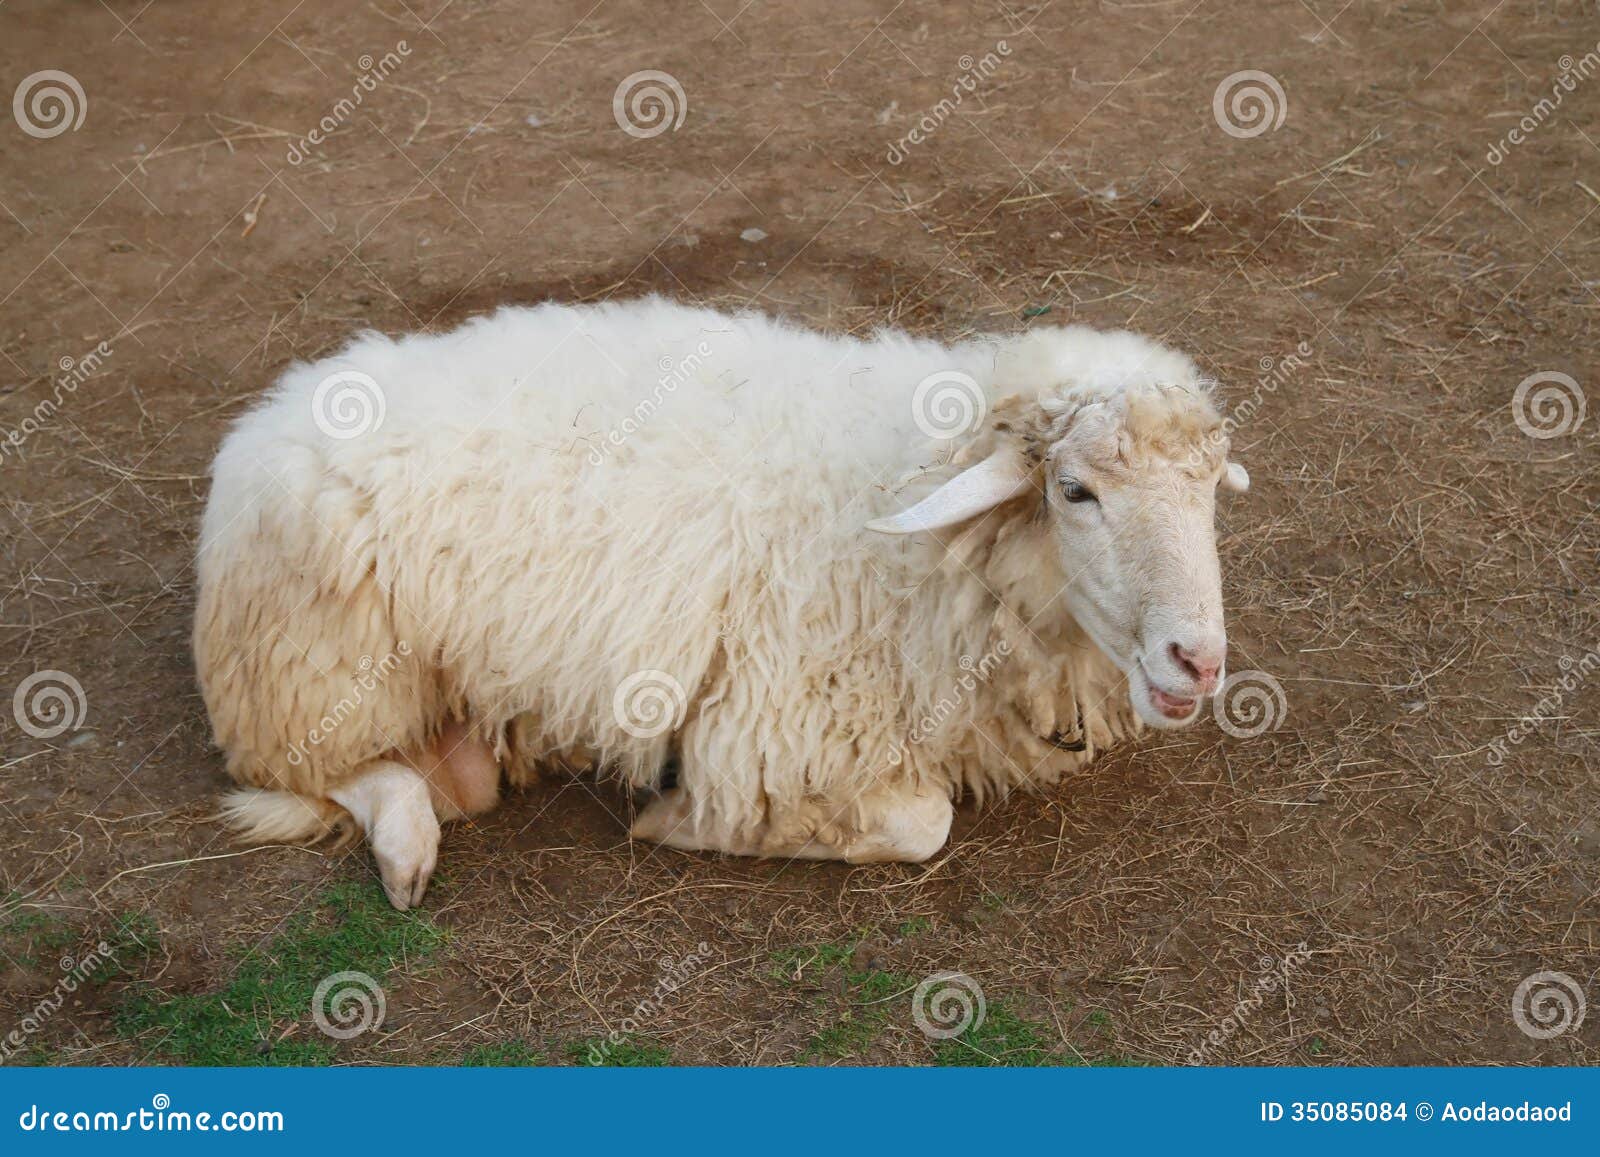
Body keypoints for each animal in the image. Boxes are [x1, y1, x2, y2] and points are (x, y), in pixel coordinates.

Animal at [194, 297, 1248, 908]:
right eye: (1075, 491)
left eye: (1206, 489)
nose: (1198, 660)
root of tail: (269, 415)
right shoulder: (775, 722)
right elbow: (921, 825)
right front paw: (685, 820)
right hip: (317, 668)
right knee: (318, 770)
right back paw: (404, 843)